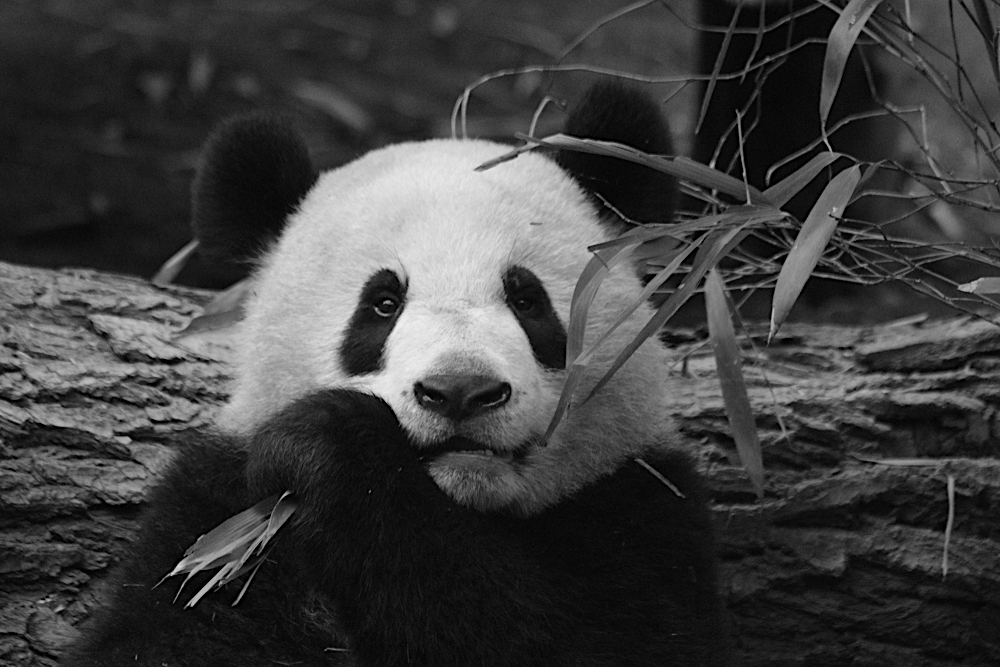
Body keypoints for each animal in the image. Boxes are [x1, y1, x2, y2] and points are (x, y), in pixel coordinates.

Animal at [65, 82, 727, 667]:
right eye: (382, 304)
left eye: (527, 300)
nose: (461, 391)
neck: (453, 496)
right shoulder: (216, 513)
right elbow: (170, 630)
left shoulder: (640, 506)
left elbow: (600, 641)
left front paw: (333, 444)